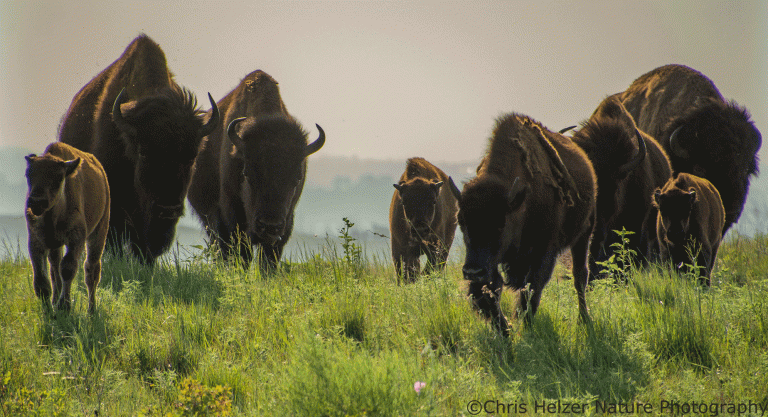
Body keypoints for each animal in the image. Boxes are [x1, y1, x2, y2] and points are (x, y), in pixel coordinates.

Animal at [25, 142, 110, 314]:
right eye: (28, 175)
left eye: (59, 178)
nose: (36, 201)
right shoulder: (36, 241)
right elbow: (42, 277)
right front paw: (49, 309)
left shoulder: (76, 239)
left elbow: (67, 269)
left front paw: (64, 306)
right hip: (55, 245)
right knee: (54, 268)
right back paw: (55, 301)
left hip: (99, 231)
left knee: (91, 270)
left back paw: (91, 310)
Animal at [188, 70, 324, 272]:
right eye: (247, 174)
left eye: (297, 179)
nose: (269, 226)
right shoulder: (232, 217)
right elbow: (241, 252)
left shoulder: (285, 224)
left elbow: (269, 258)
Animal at [450, 114, 597, 335]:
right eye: (461, 222)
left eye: (500, 223)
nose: (473, 272)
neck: (521, 203)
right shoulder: (490, 263)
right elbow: (489, 293)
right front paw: (506, 330)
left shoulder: (544, 251)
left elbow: (532, 288)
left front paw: (524, 327)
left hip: (584, 233)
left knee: (580, 276)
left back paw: (585, 319)